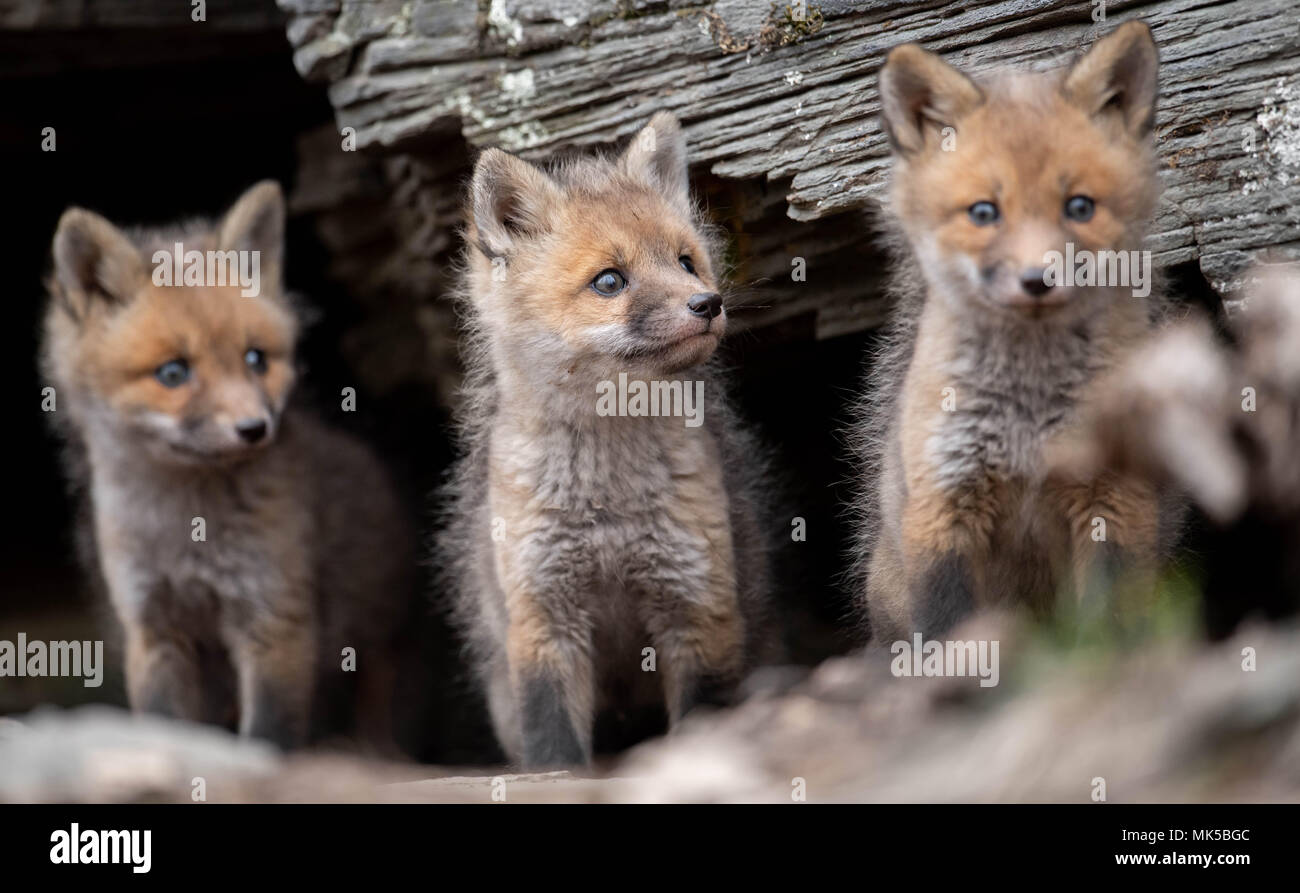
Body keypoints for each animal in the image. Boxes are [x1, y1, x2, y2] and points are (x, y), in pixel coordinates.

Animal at [40, 181, 417, 750]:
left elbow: (268, 734)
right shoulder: (152, 625)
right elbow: (164, 724)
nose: (254, 428)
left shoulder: (274, 618)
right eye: (173, 373)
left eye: (255, 359)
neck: (187, 530)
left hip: (380, 643)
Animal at [438, 112, 778, 768]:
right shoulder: (543, 613)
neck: (607, 505)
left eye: (686, 262)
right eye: (610, 281)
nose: (708, 303)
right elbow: (553, 742)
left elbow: (701, 718)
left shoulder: (696, 601)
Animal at [853, 21, 1180, 642]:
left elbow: (1109, 617)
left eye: (1080, 206)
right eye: (984, 212)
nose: (1037, 279)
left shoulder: (1114, 497)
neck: (1027, 417)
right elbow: (947, 622)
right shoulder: (945, 502)